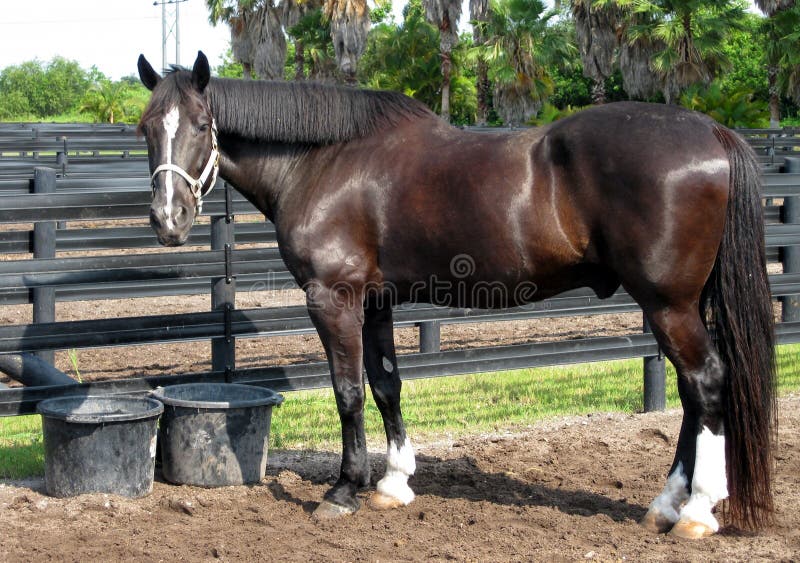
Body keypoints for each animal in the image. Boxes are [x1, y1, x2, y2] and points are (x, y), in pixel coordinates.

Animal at [136, 51, 776, 538]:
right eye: (146, 128)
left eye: (200, 125)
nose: (168, 221)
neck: (326, 161)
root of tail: (712, 131)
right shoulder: (376, 300)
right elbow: (386, 384)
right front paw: (393, 483)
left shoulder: (334, 298)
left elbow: (348, 392)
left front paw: (344, 489)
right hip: (677, 307)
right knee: (693, 396)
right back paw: (665, 504)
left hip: (668, 306)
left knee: (706, 385)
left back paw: (696, 512)